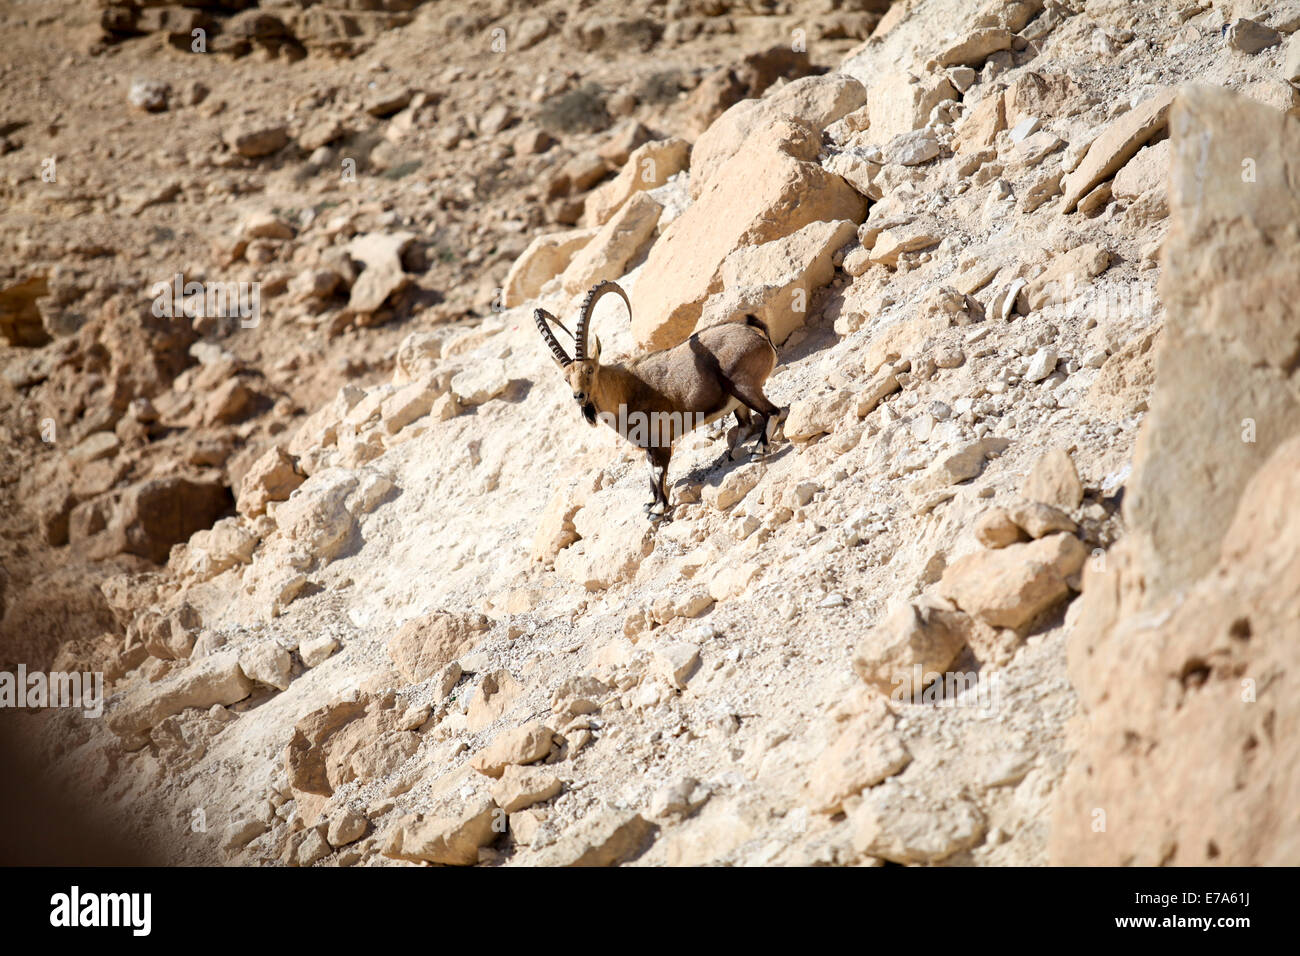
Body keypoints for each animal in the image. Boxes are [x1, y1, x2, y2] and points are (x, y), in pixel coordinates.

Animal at [535, 280, 785, 519]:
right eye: (566, 379)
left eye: (589, 370)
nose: (579, 396)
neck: (625, 392)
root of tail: (758, 335)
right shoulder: (648, 445)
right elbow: (650, 471)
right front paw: (651, 502)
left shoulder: (661, 438)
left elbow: (659, 471)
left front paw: (658, 509)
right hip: (737, 400)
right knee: (747, 423)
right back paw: (730, 455)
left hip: (743, 387)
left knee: (774, 411)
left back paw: (759, 450)